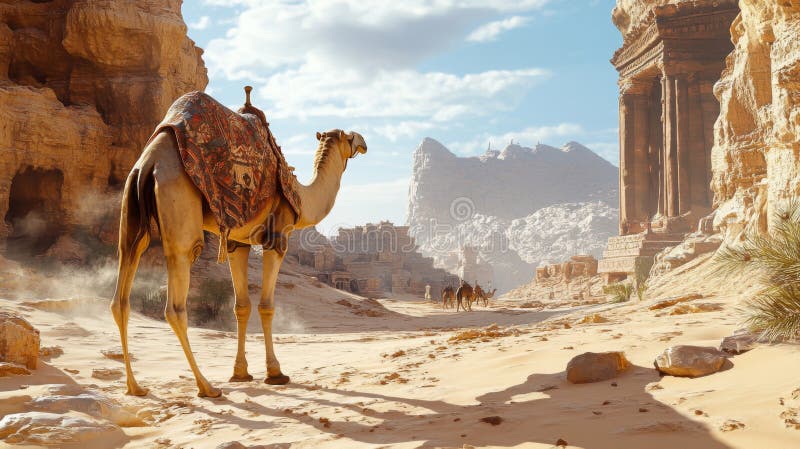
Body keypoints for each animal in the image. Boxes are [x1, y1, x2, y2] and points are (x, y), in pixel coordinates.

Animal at [110, 126, 366, 397]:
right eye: (350, 136)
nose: (364, 142)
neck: (301, 197)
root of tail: (150, 163)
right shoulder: (277, 236)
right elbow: (266, 306)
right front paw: (275, 373)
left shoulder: (236, 242)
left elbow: (241, 306)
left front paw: (240, 373)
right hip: (179, 211)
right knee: (175, 306)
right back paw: (206, 386)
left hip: (130, 212)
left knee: (121, 293)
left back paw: (135, 387)